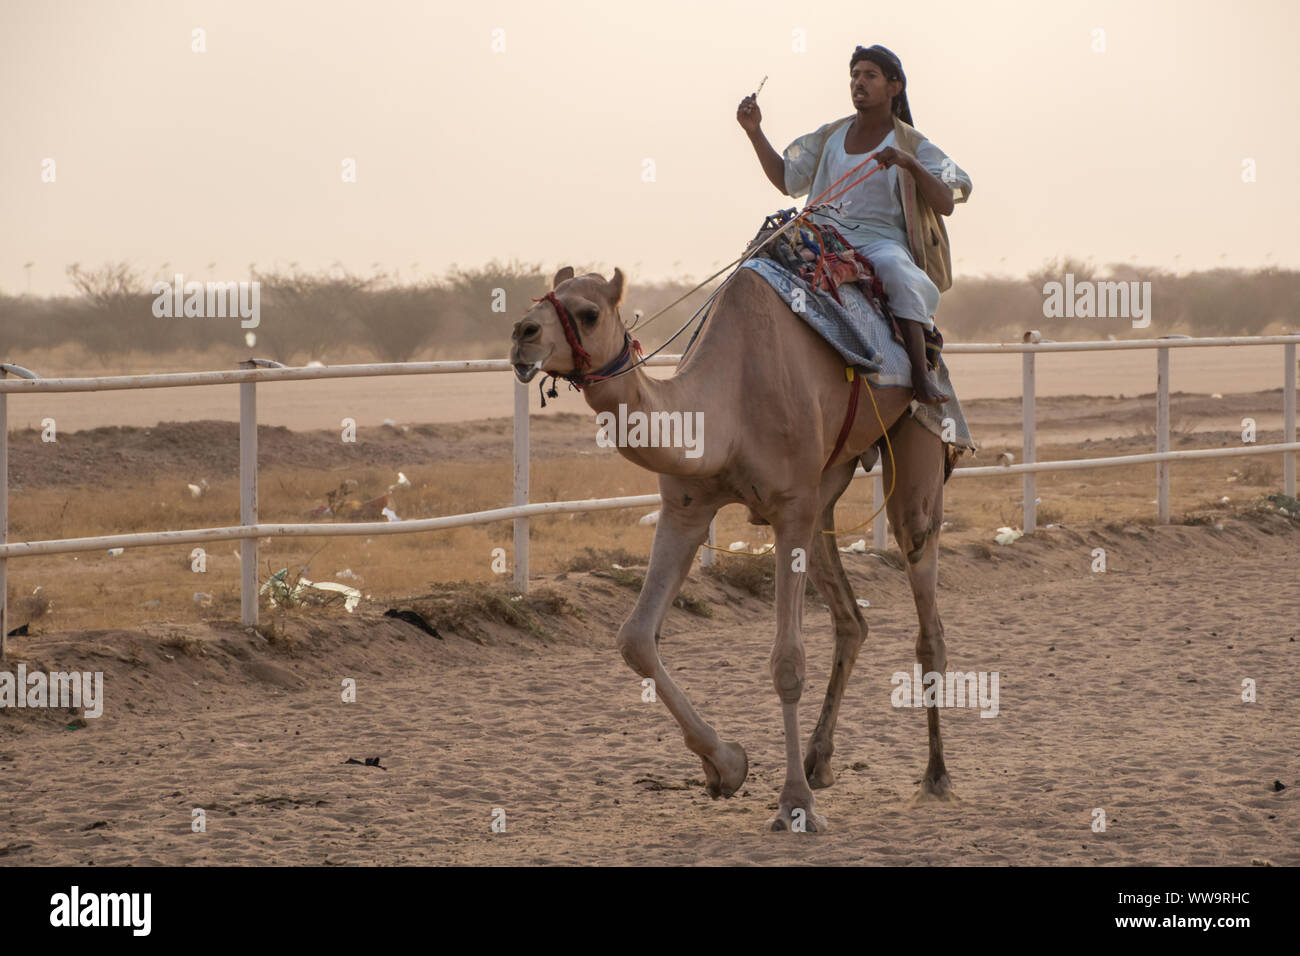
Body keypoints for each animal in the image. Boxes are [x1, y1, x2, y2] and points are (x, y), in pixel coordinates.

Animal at [509, 265, 955, 831]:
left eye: (588, 313)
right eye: (541, 298)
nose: (522, 334)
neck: (729, 406)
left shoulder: (789, 507)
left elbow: (787, 662)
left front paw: (794, 804)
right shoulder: (686, 506)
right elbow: (636, 639)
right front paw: (727, 766)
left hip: (913, 440)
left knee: (924, 602)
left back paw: (935, 778)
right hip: (825, 489)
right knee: (852, 619)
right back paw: (819, 760)